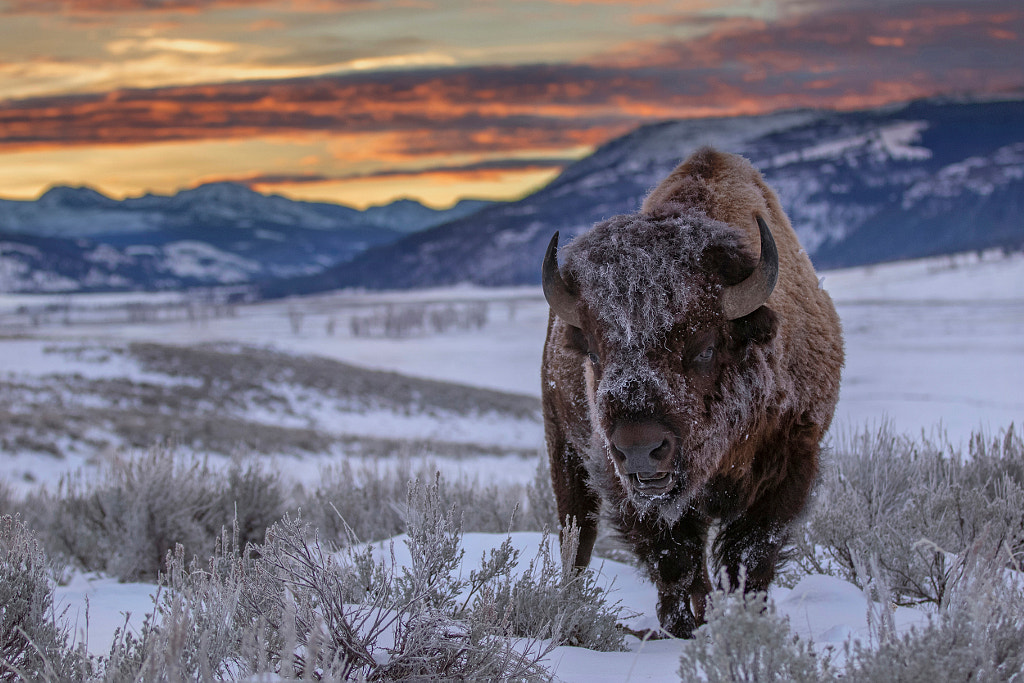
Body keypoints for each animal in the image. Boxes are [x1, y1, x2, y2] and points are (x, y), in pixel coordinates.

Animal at [540, 147, 844, 637]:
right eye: (596, 354)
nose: (640, 450)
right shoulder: (626, 484)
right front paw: (685, 625)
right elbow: (675, 558)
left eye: (704, 348)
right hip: (564, 450)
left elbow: (751, 555)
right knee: (577, 538)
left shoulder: (790, 465)